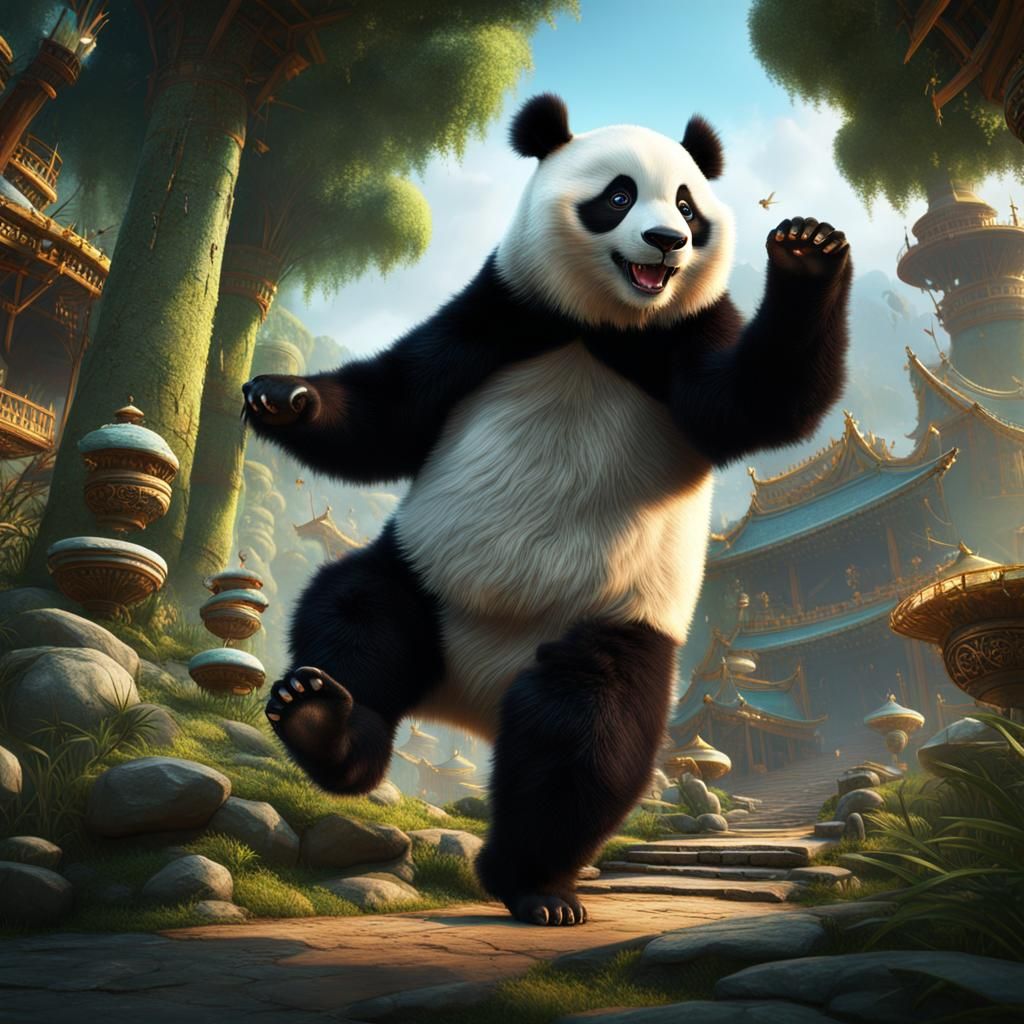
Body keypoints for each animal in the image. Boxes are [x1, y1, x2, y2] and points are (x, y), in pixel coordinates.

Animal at [242, 94, 851, 927]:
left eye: (687, 207)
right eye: (619, 196)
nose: (666, 242)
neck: (602, 327)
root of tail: (472, 700)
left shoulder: (686, 335)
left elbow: (757, 404)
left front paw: (808, 250)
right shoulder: (499, 316)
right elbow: (395, 410)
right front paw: (282, 396)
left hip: (606, 620)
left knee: (584, 735)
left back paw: (535, 886)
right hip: (424, 575)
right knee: (353, 612)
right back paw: (323, 720)